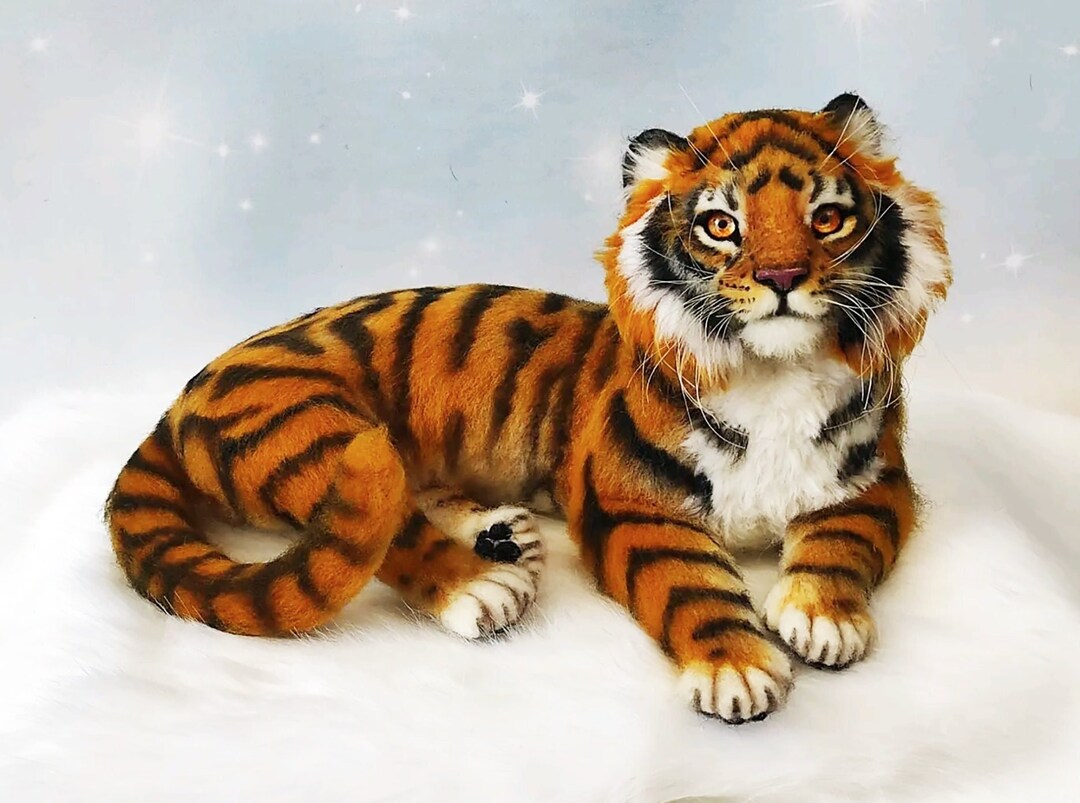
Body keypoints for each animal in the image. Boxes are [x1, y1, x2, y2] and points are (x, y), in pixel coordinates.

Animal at [105, 93, 950, 724]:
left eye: (828, 218)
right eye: (721, 225)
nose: (780, 278)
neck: (774, 368)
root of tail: (180, 396)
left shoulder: (877, 481)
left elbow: (839, 542)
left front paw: (824, 617)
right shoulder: (631, 502)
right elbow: (690, 582)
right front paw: (736, 669)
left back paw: (503, 533)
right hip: (312, 428)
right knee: (384, 527)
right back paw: (482, 582)